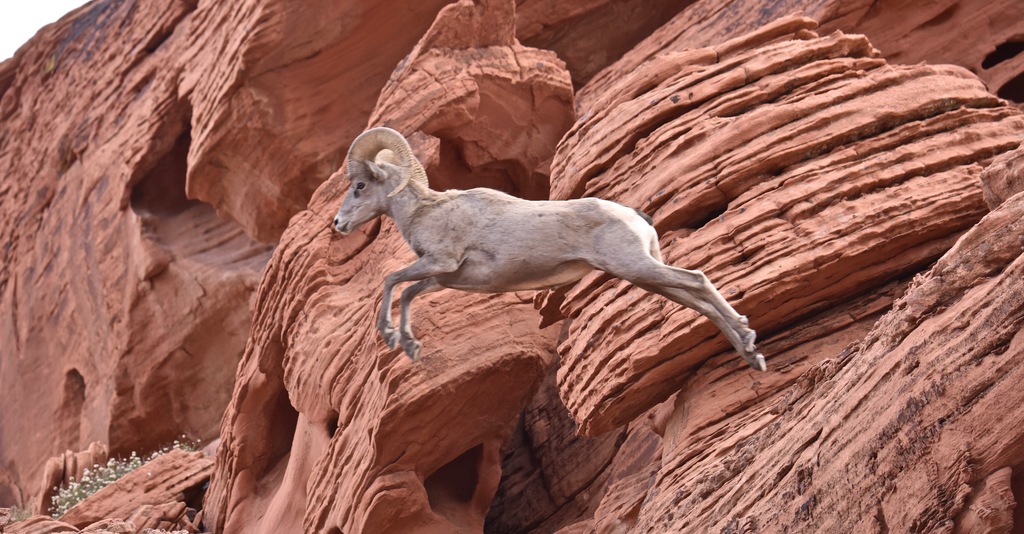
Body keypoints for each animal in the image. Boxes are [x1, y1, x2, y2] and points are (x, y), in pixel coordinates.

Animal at [331, 127, 766, 371]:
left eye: (360, 186)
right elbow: (407, 292)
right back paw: (751, 354)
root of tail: (634, 215)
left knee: (698, 280)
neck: (426, 211)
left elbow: (391, 281)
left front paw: (391, 337)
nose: (337, 224)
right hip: (642, 275)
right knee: (695, 299)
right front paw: (409, 345)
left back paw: (747, 338)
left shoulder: (440, 261)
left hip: (637, 267)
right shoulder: (444, 276)